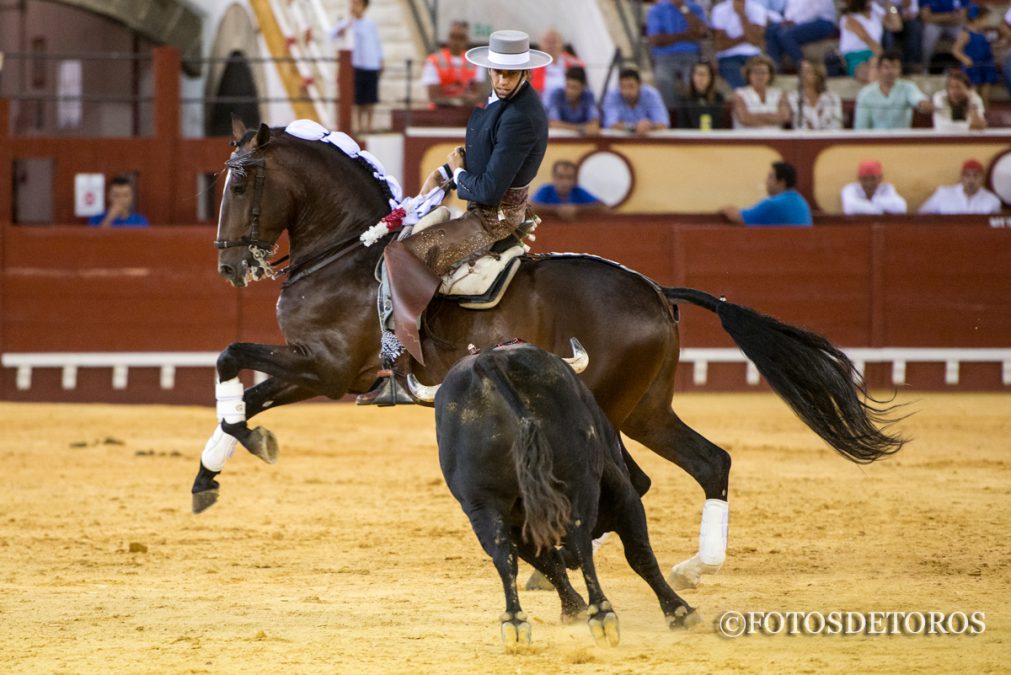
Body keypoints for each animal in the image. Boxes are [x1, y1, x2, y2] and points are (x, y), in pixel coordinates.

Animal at [195, 117, 904, 588]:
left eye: (241, 181)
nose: (230, 265)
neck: (350, 249)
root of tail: (655, 289)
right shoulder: (312, 366)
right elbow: (244, 384)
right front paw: (213, 471)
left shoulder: (327, 367)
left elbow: (230, 359)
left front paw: (238, 447)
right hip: (648, 408)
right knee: (710, 462)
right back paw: (692, 566)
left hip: (609, 407)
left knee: (636, 480)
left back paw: (575, 567)